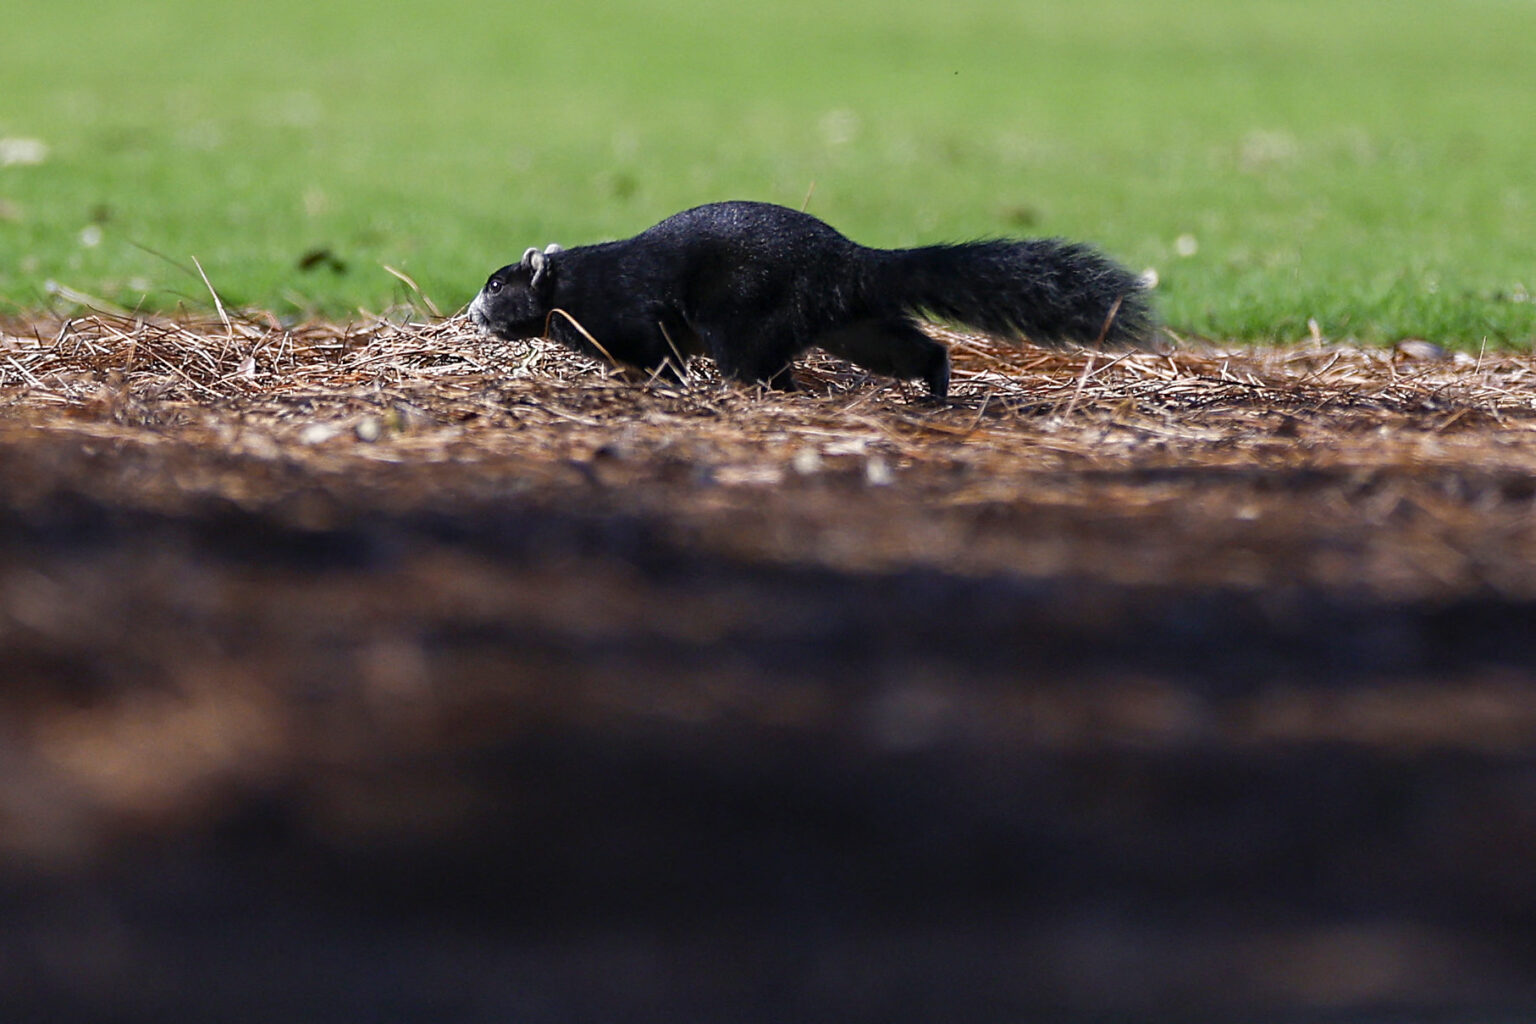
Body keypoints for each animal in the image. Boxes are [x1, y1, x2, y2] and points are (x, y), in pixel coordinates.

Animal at [469, 201, 1151, 399]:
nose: (473, 313)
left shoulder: (629, 306)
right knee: (910, 347)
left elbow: (655, 348)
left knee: (758, 362)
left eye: (497, 285)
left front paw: (666, 383)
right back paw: (936, 388)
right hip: (854, 326)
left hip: (748, 310)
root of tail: (854, 261)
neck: (575, 282)